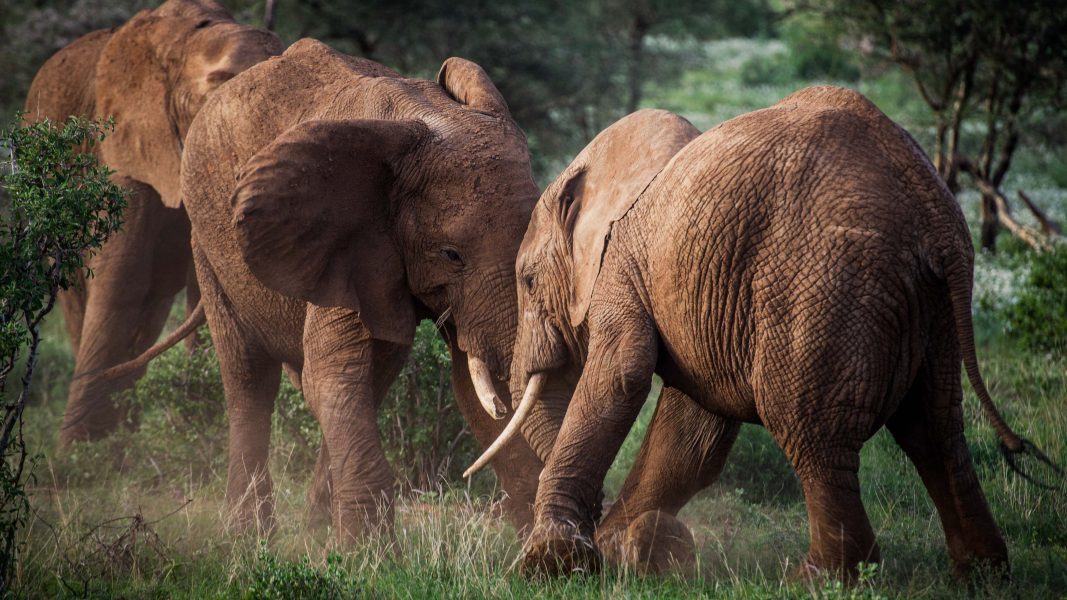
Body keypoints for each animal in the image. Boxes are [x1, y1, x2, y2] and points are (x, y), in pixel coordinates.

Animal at [474, 88, 1035, 580]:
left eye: (527, 280)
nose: (596, 515)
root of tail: (935, 220)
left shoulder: (621, 266)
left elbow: (621, 378)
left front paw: (549, 565)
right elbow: (694, 431)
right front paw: (624, 549)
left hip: (828, 289)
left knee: (811, 429)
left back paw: (819, 580)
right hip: (932, 312)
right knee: (935, 428)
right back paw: (982, 575)